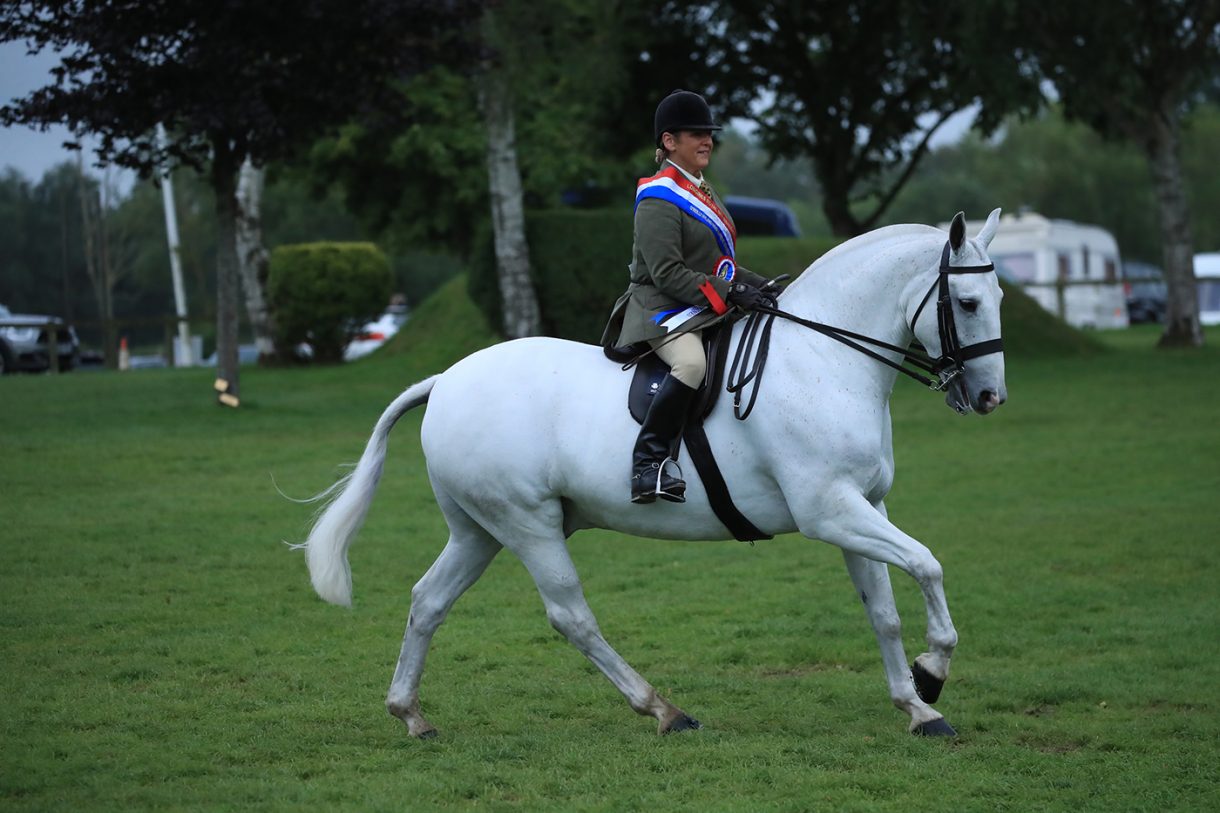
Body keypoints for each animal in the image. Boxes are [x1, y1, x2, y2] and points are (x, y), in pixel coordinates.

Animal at [294, 209, 1008, 738]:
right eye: (969, 301)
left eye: (998, 297)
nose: (989, 398)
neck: (823, 359)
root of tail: (446, 380)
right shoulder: (829, 509)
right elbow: (928, 565)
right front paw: (932, 670)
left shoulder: (861, 507)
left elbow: (882, 609)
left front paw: (917, 706)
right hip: (526, 524)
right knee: (570, 615)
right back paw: (663, 709)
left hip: (479, 530)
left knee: (428, 601)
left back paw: (410, 714)